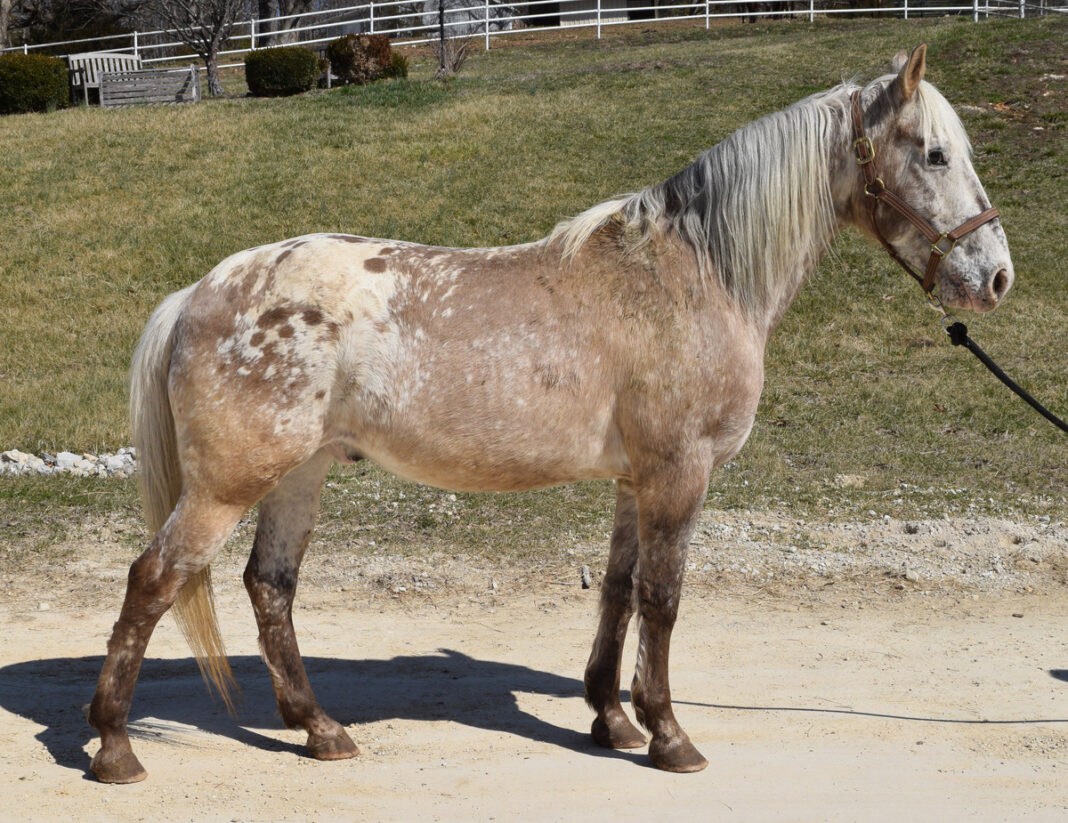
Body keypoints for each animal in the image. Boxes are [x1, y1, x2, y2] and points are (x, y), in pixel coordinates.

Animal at [87, 44, 1013, 783]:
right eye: (933, 154)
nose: (996, 275)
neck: (694, 275)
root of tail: (201, 290)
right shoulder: (679, 472)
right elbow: (664, 597)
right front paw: (670, 734)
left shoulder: (636, 480)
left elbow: (618, 590)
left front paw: (612, 716)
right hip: (226, 485)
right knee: (154, 579)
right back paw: (115, 747)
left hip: (297, 476)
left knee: (269, 587)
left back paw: (320, 729)